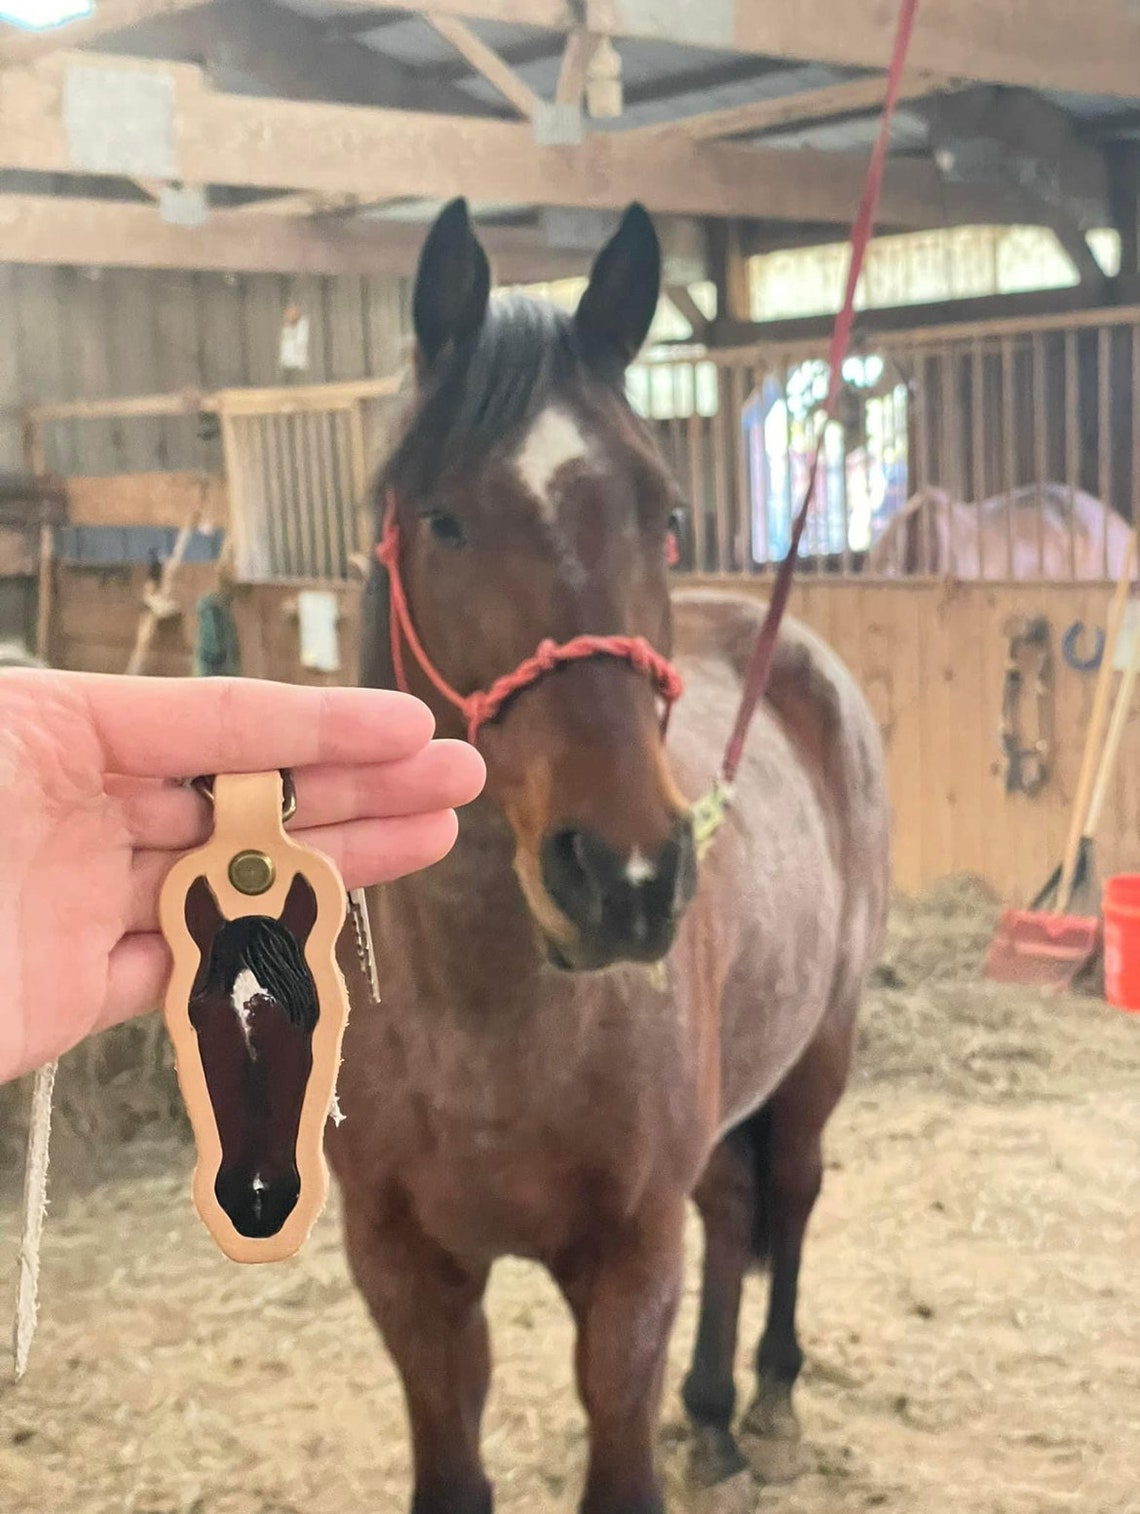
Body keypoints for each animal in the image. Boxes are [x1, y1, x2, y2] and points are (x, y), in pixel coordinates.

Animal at [327, 198, 891, 1514]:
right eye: (444, 517)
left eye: (663, 512)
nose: (626, 878)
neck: (483, 1020)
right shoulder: (405, 1278)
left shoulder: (629, 1262)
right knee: (733, 1206)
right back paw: (716, 1409)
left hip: (823, 1046)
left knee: (792, 1188)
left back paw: (769, 1392)